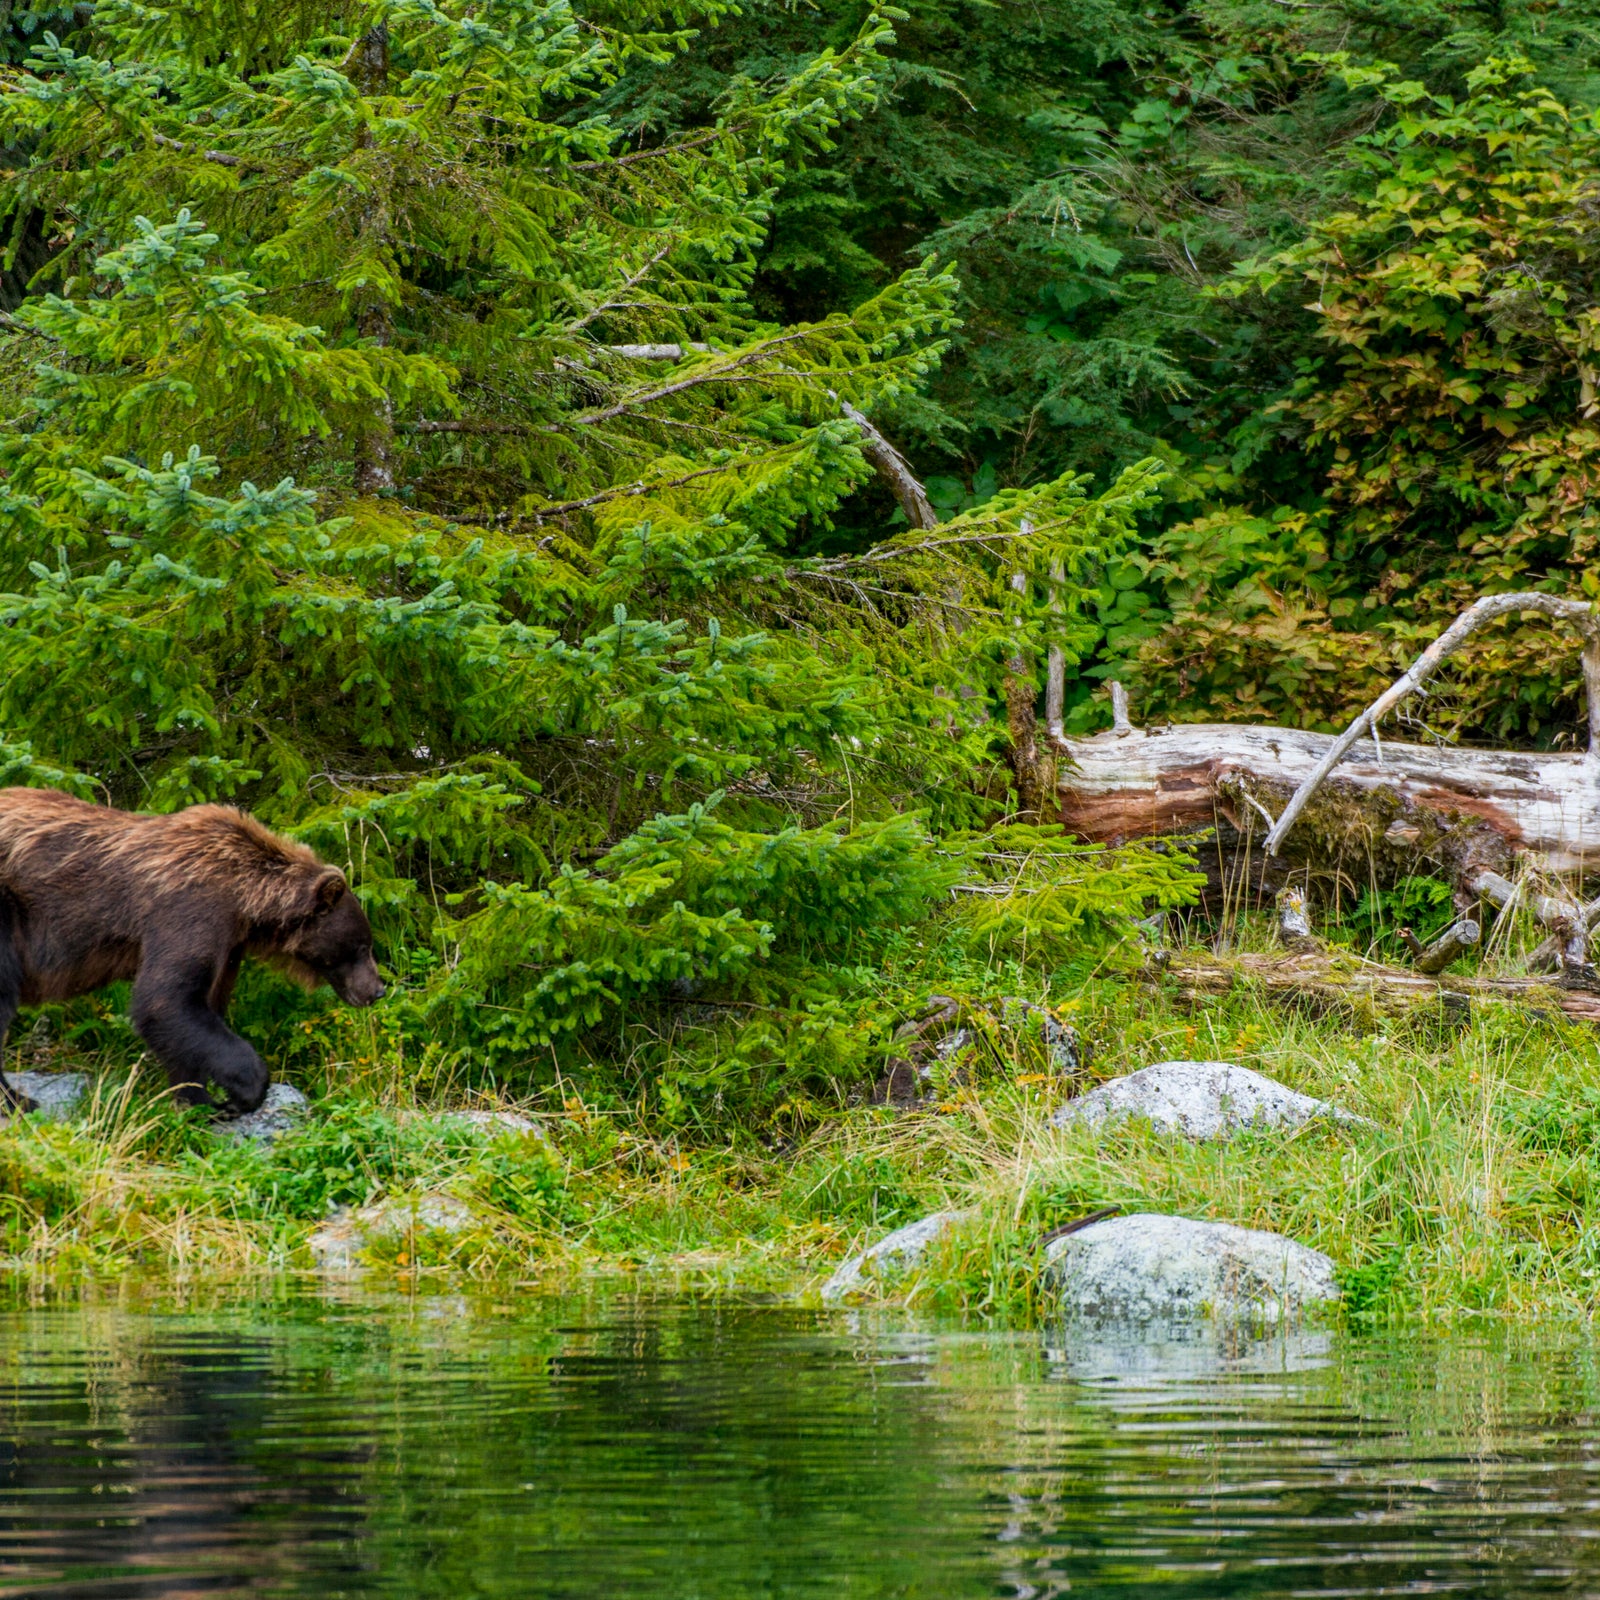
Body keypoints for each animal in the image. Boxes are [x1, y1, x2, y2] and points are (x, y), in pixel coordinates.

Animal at [0, 789, 384, 1117]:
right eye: (362, 945)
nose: (378, 989)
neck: (245, 901)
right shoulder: (191, 910)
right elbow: (164, 1000)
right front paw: (245, 1090)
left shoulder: (228, 944)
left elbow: (196, 1014)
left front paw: (195, 1098)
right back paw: (18, 1101)